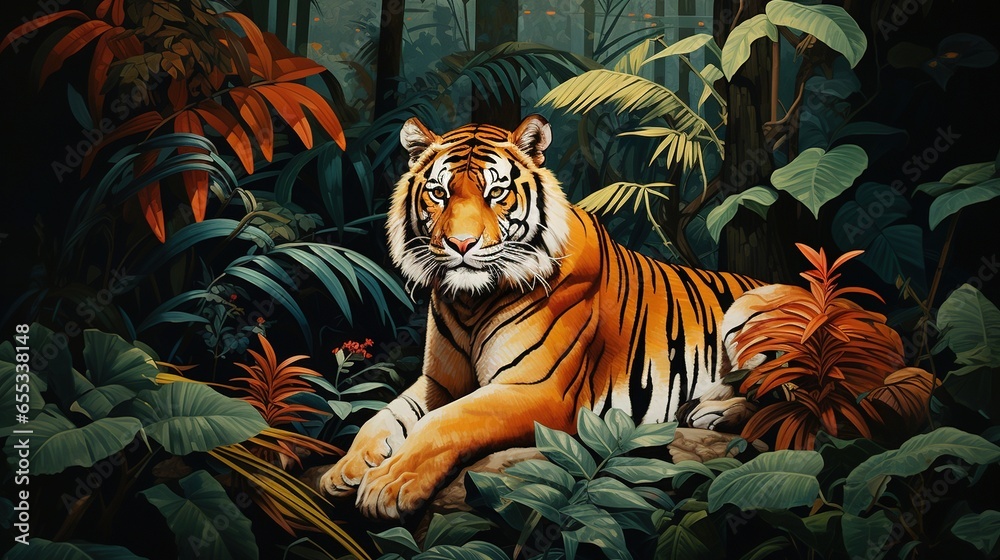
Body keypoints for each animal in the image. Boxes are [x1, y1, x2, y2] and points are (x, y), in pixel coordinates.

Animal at [322, 114, 766, 520]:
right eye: (439, 192)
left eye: (496, 192)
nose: (461, 244)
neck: (470, 301)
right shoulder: (439, 382)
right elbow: (385, 415)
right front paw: (344, 469)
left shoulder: (537, 389)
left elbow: (443, 423)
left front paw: (389, 484)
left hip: (750, 309)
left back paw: (717, 413)